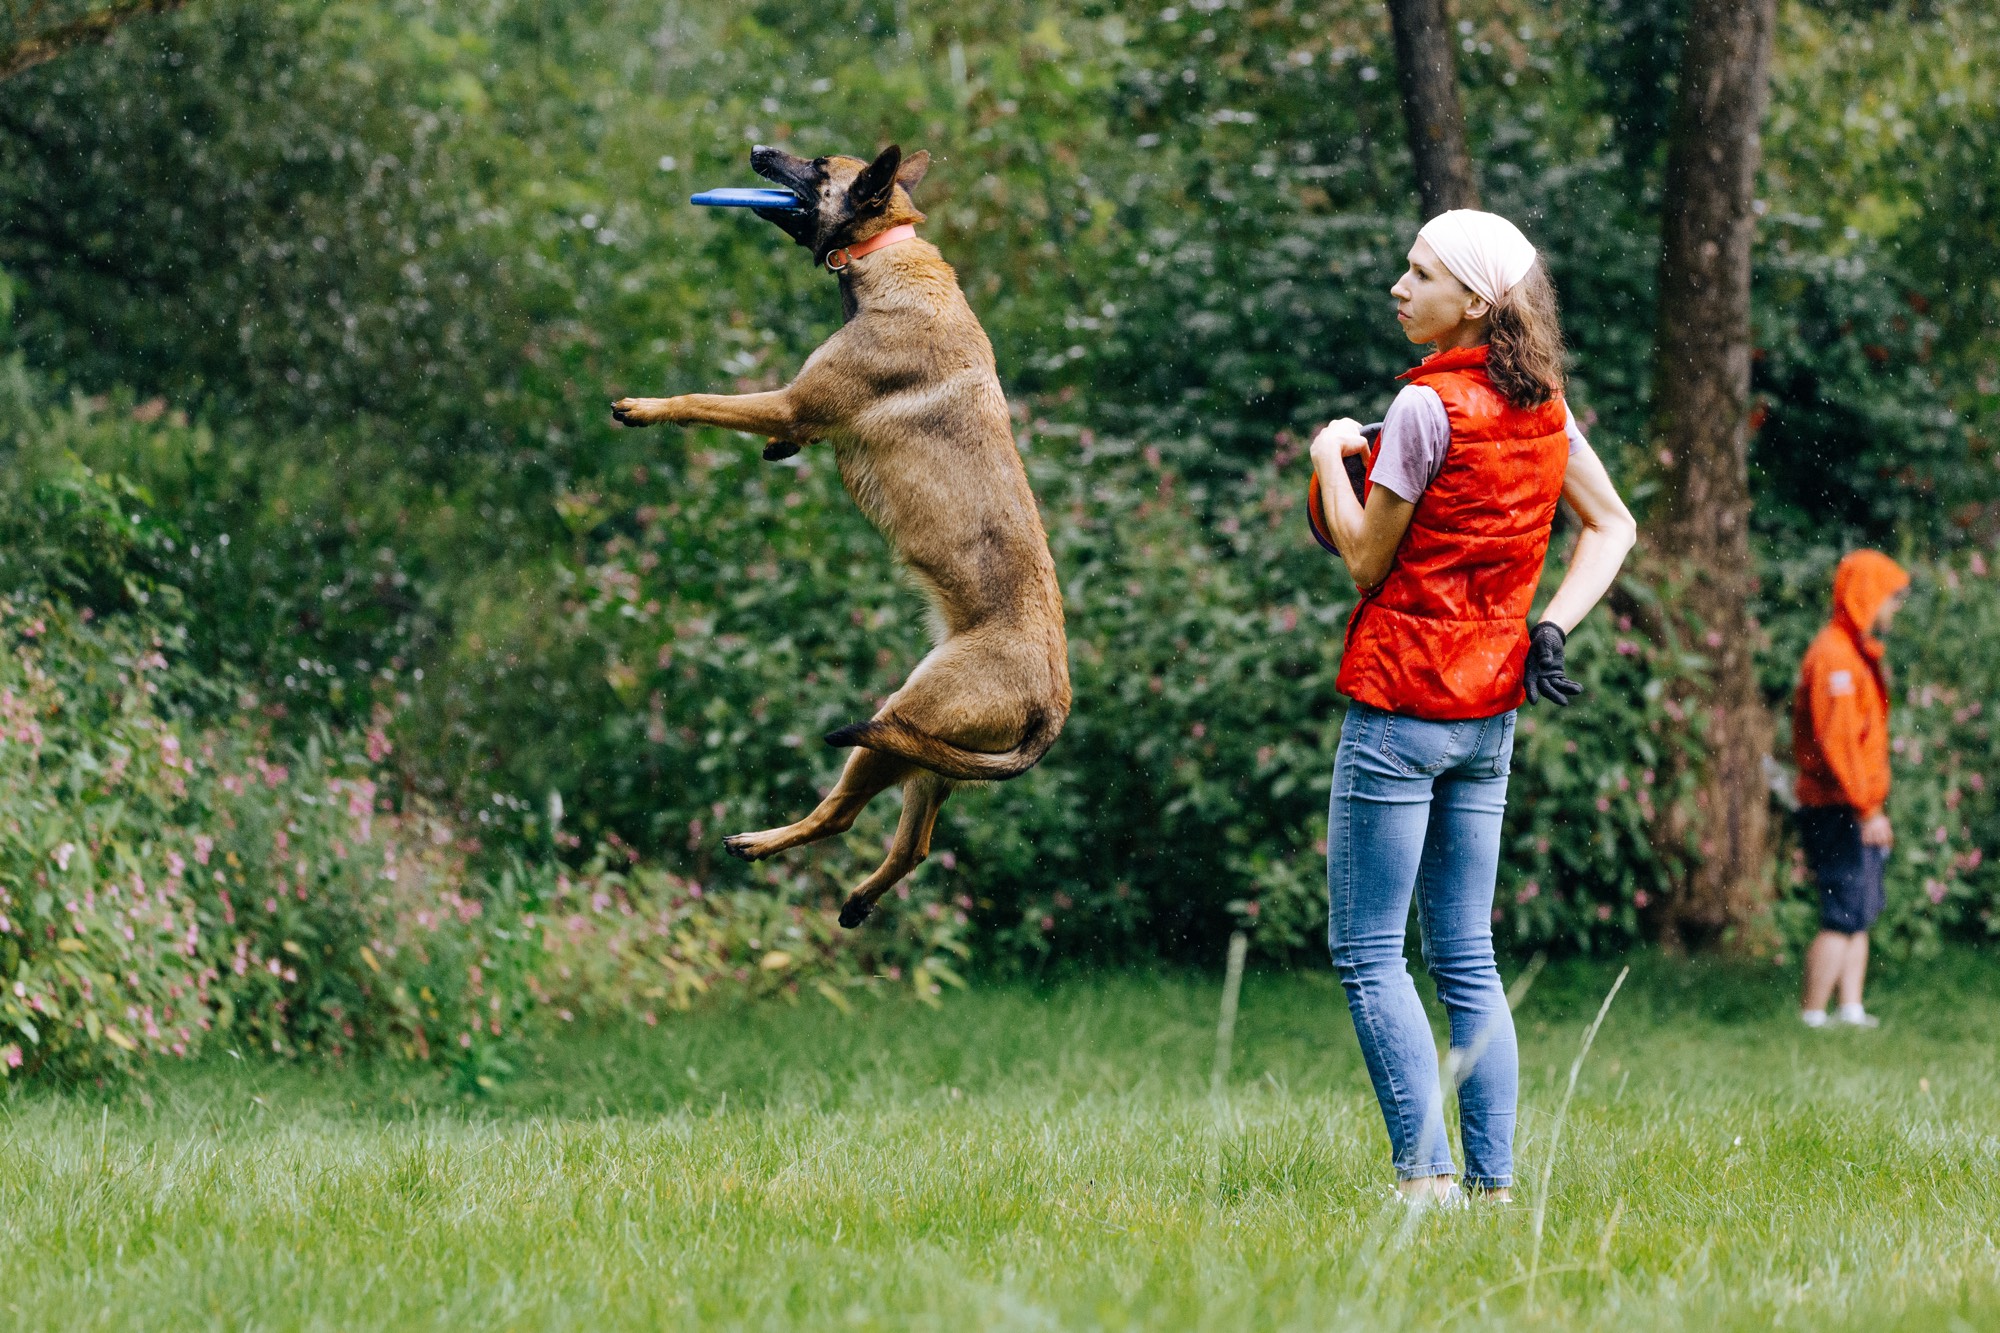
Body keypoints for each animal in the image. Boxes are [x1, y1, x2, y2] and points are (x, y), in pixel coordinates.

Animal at [608, 143, 1072, 924]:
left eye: (819, 165)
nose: (758, 149)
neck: (885, 252)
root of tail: (1052, 708)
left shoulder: (792, 400)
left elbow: (705, 400)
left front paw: (645, 406)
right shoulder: (799, 412)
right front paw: (776, 451)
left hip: (891, 727)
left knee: (842, 814)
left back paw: (759, 843)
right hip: (924, 753)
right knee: (913, 846)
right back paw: (855, 900)